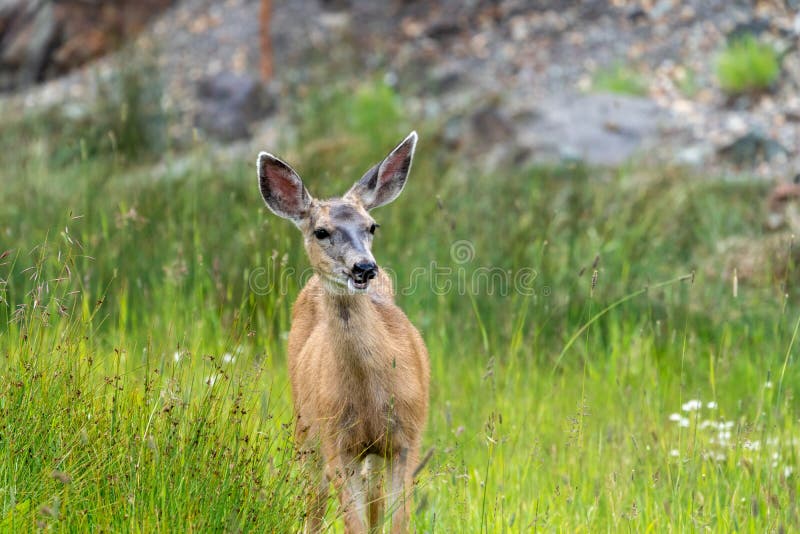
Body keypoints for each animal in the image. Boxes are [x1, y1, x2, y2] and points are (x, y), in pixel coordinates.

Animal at [256, 132, 430, 533]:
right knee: (314, 504)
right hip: (306, 427)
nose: (364, 267)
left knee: (374, 500)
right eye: (321, 231)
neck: (370, 395)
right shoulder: (337, 441)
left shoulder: (407, 437)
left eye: (372, 226)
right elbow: (353, 522)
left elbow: (396, 521)